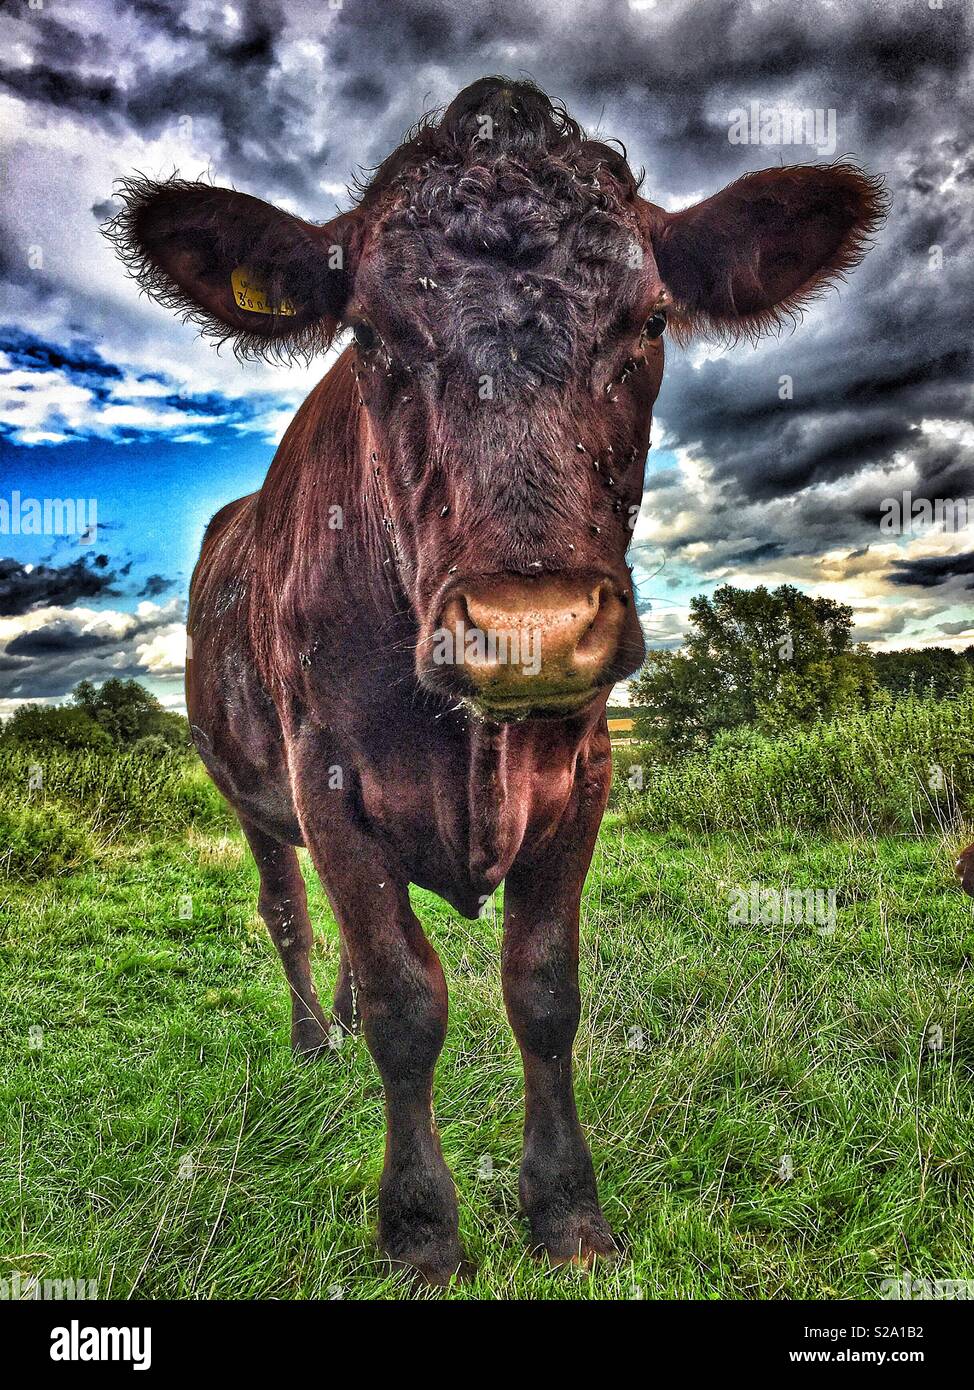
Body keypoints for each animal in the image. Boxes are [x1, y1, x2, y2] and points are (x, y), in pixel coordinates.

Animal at [108, 76, 887, 1283]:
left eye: (650, 320)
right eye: (370, 334)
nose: (532, 631)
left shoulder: (585, 772)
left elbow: (543, 990)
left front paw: (566, 1212)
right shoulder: (327, 779)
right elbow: (403, 1001)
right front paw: (422, 1229)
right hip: (249, 791)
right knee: (289, 914)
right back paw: (312, 1039)